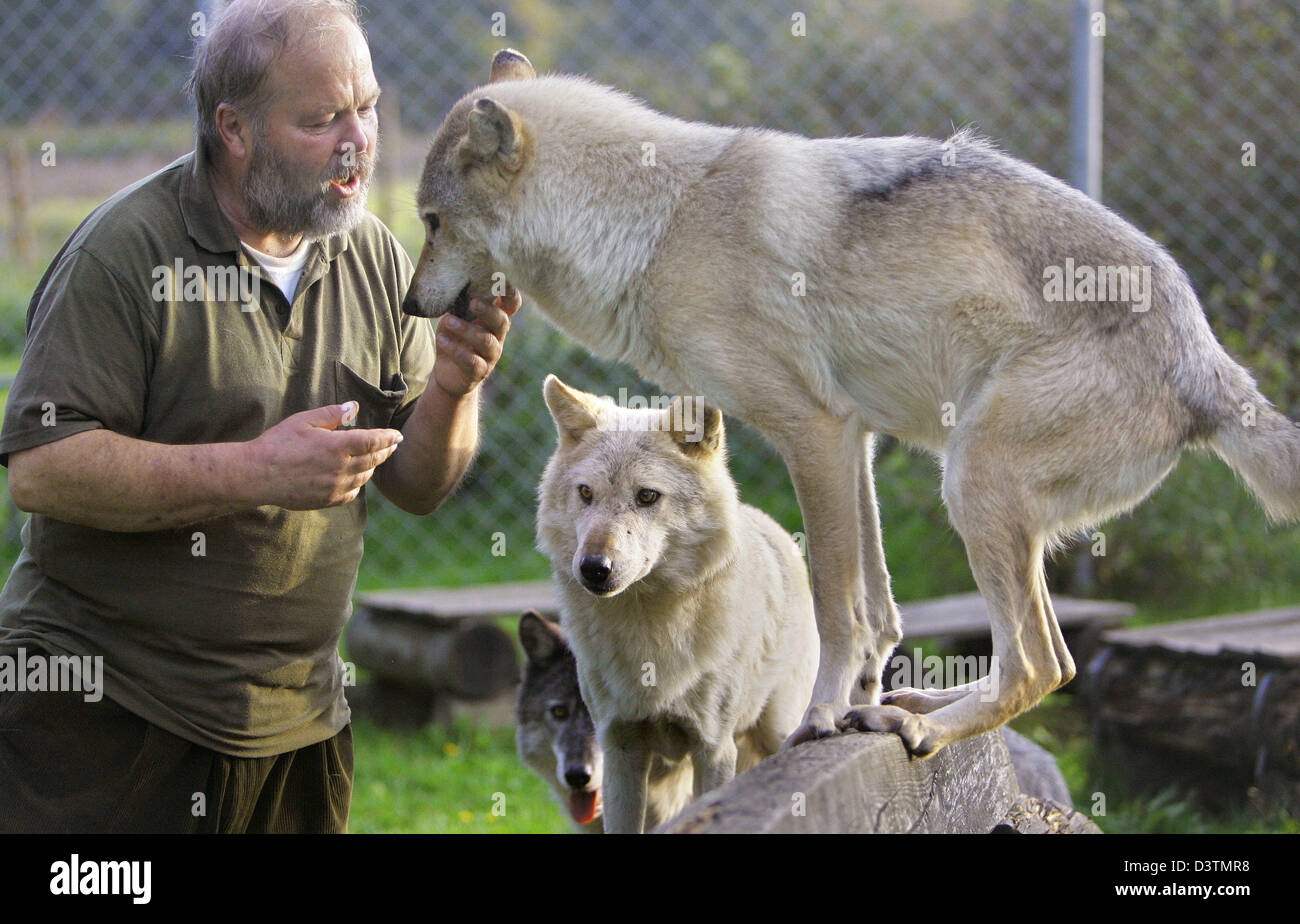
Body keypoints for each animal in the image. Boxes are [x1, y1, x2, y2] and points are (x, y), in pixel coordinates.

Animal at [406, 49, 1300, 760]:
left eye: (431, 221)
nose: (412, 306)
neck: (654, 227)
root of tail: (1209, 363)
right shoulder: (857, 438)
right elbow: (878, 607)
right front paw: (857, 702)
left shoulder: (815, 432)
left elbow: (836, 605)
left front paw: (821, 715)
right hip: (978, 493)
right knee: (1045, 661)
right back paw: (920, 704)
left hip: (970, 484)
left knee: (1042, 665)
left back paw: (927, 729)